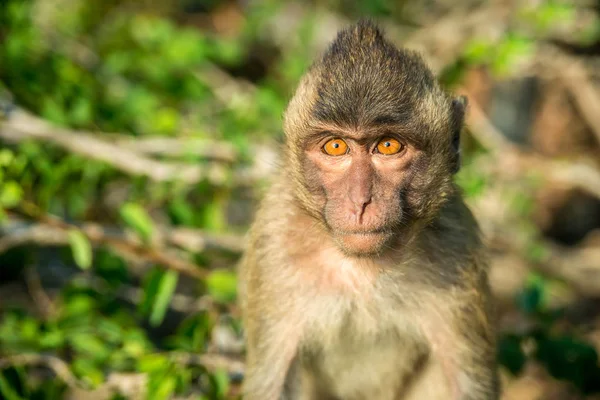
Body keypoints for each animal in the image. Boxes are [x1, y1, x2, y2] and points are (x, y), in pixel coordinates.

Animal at [237, 20, 500, 400]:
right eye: (335, 146)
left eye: (388, 145)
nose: (361, 201)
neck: (361, 269)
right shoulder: (274, 247)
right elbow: (272, 381)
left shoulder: (457, 248)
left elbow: (466, 384)